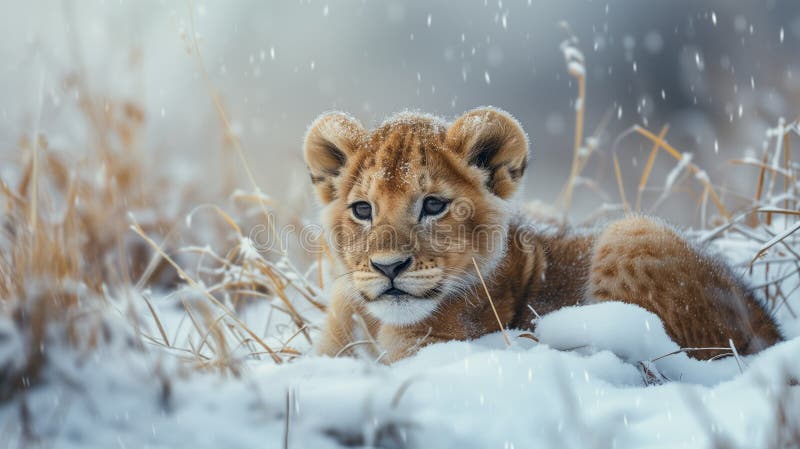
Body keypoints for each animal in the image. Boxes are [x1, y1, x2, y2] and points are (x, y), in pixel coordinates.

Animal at [303, 107, 782, 363]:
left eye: (434, 205)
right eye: (363, 210)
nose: (388, 268)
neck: (374, 323)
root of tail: (772, 330)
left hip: (631, 231)